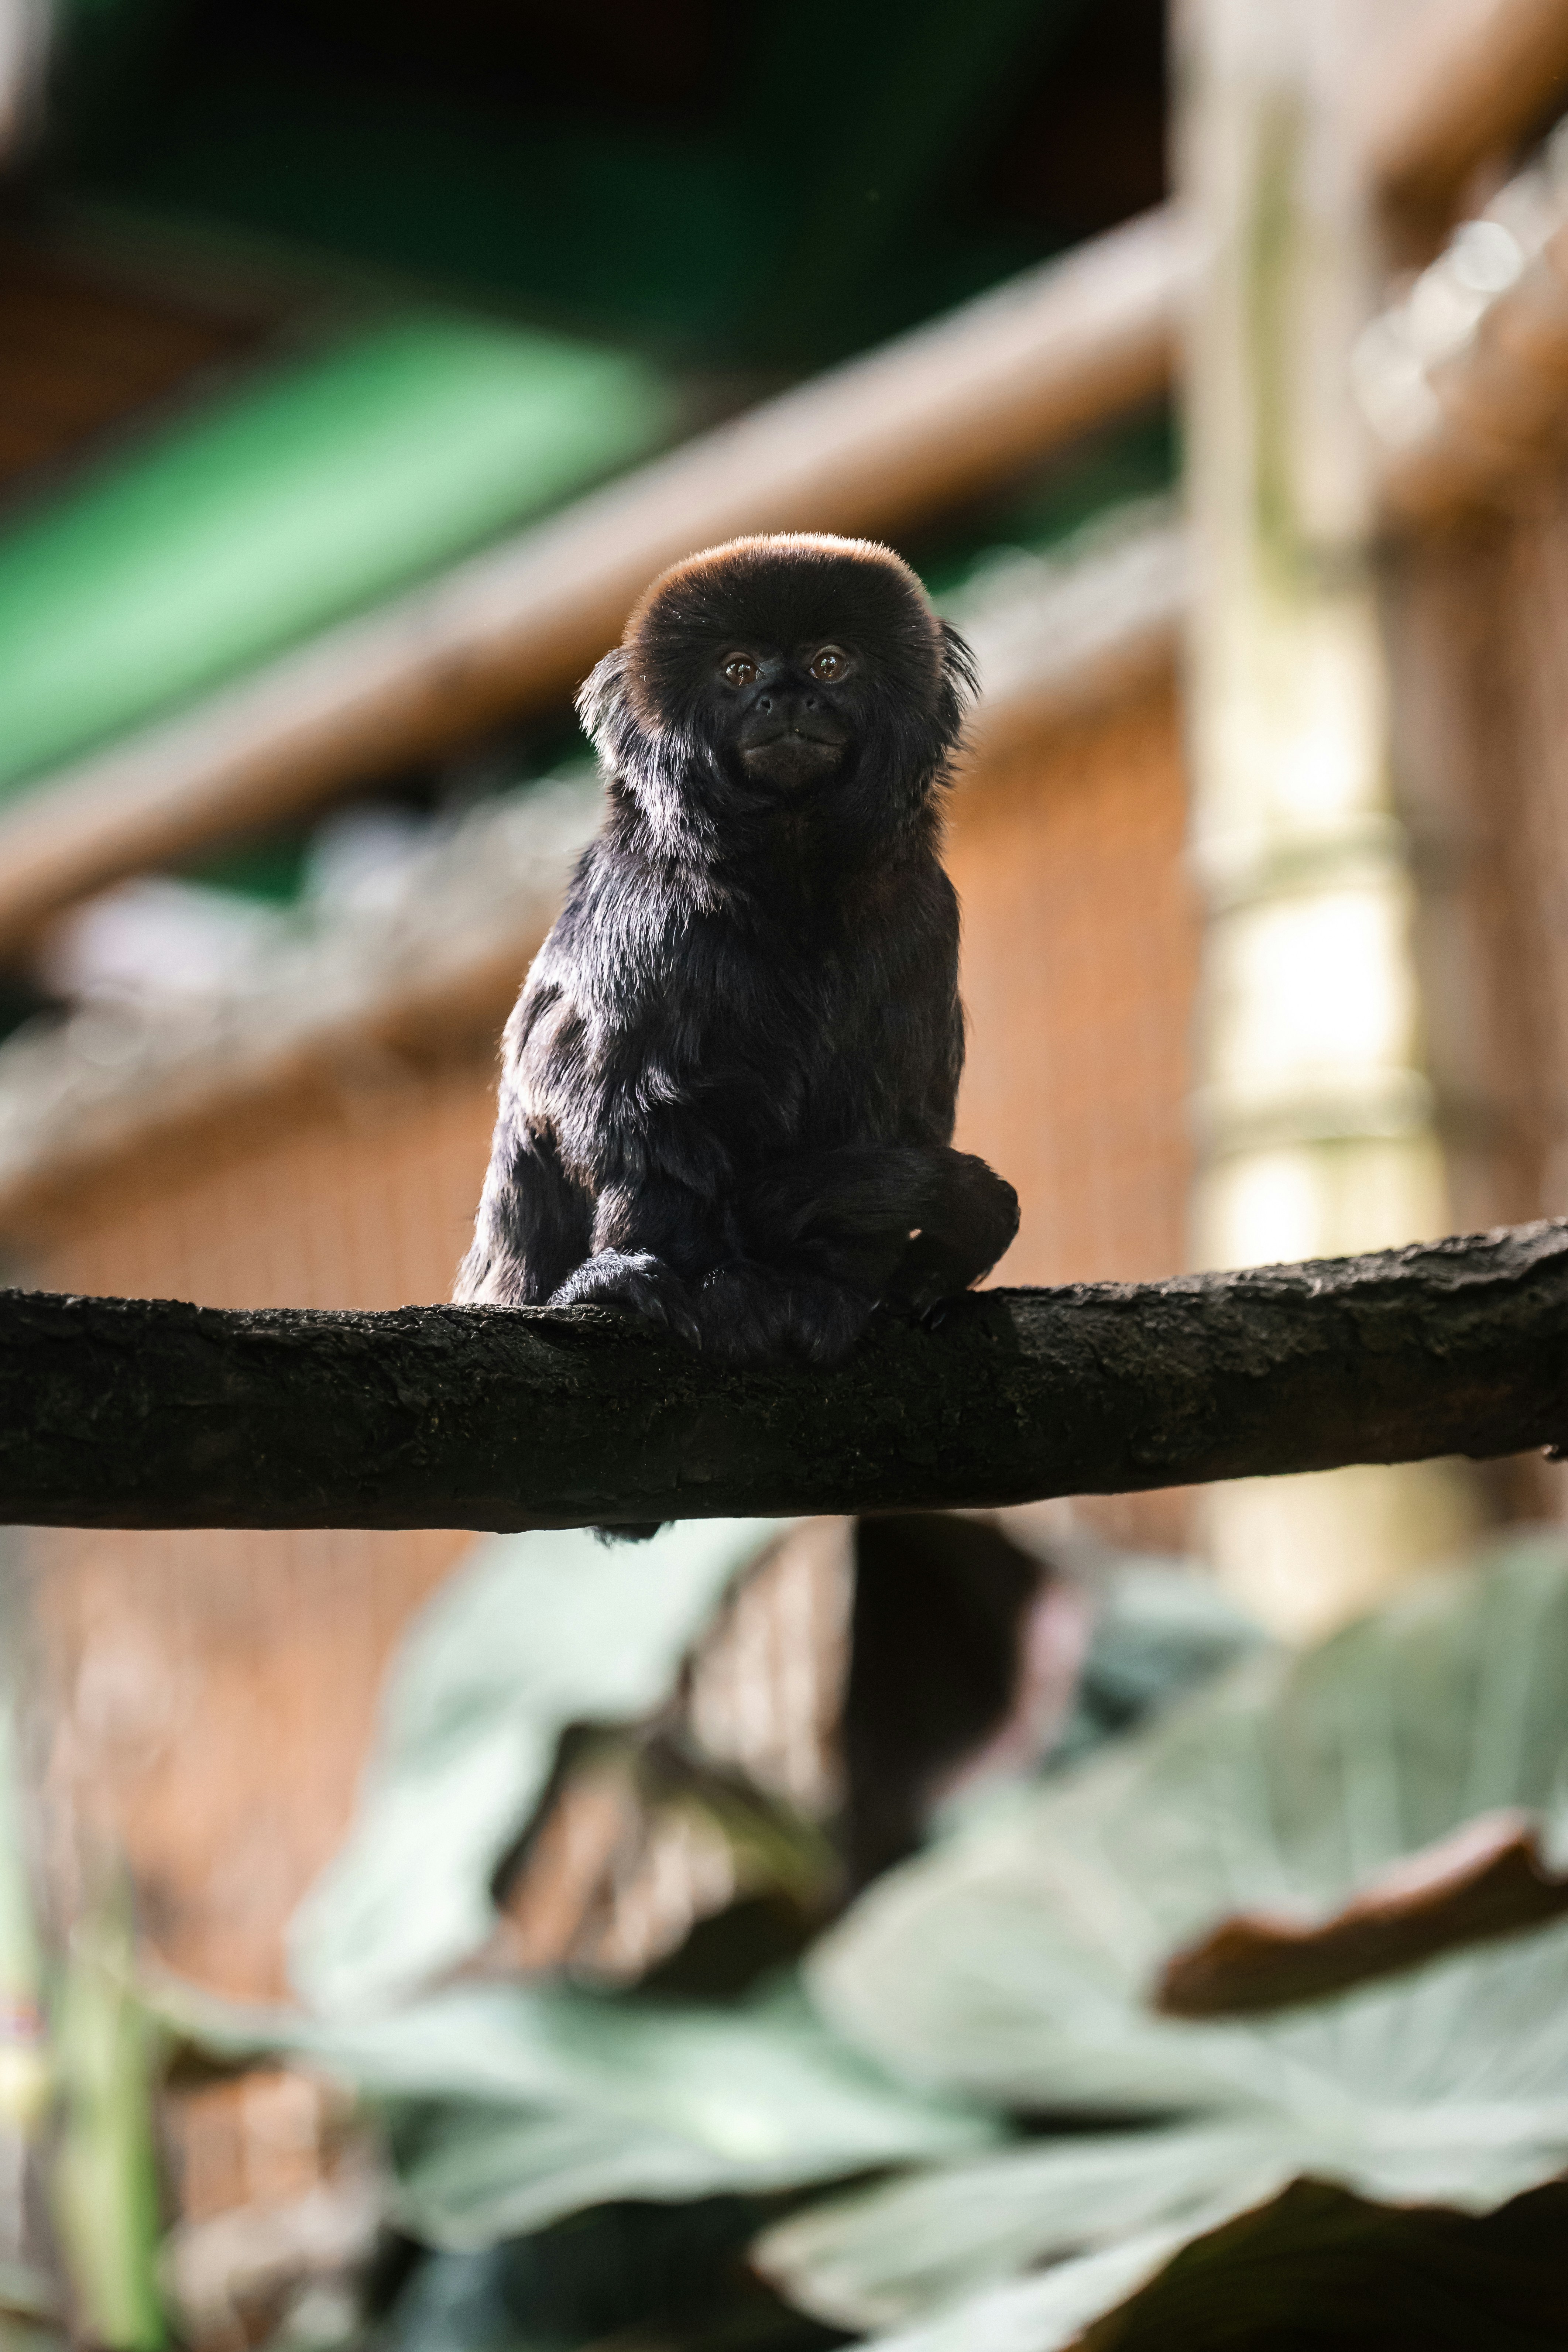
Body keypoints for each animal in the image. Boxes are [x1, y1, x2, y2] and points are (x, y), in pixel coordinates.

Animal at [454, 531, 1019, 1367]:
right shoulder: (646, 921)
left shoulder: (922, 915)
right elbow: (621, 1106)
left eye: (828, 663)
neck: (787, 880)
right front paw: (696, 1285)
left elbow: (889, 1103)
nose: (783, 697)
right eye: (740, 671)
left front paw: (827, 1285)